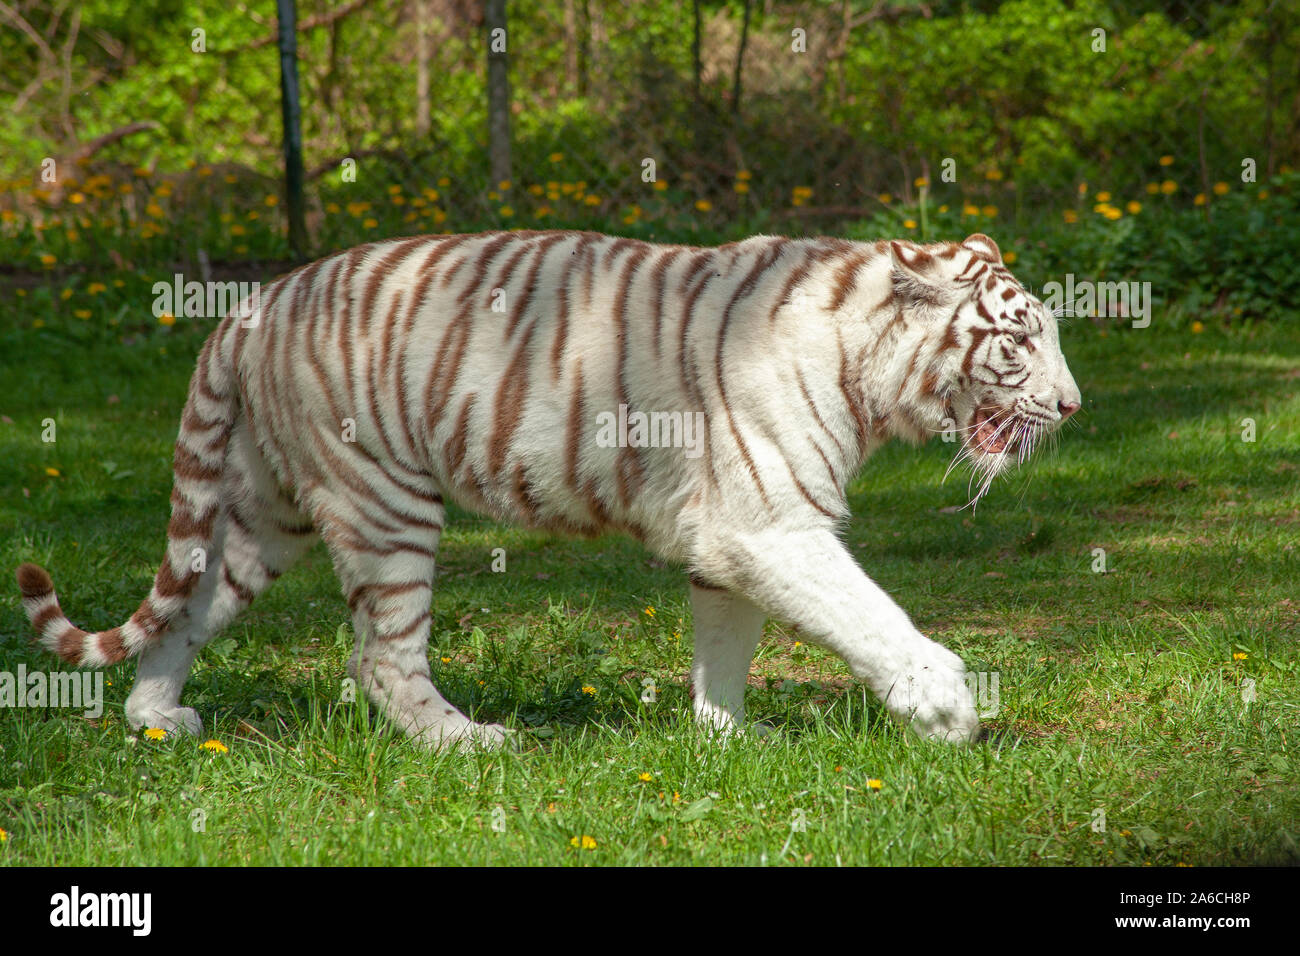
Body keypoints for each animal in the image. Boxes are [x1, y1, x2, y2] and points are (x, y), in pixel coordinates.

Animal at [16, 229, 1081, 750]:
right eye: (1018, 340)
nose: (1073, 405)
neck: (870, 374)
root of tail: (247, 307)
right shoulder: (774, 524)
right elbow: (868, 615)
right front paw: (946, 712)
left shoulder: (732, 534)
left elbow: (724, 643)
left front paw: (727, 737)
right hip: (385, 501)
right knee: (380, 656)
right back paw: (470, 743)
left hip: (260, 512)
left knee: (191, 605)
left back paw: (158, 718)